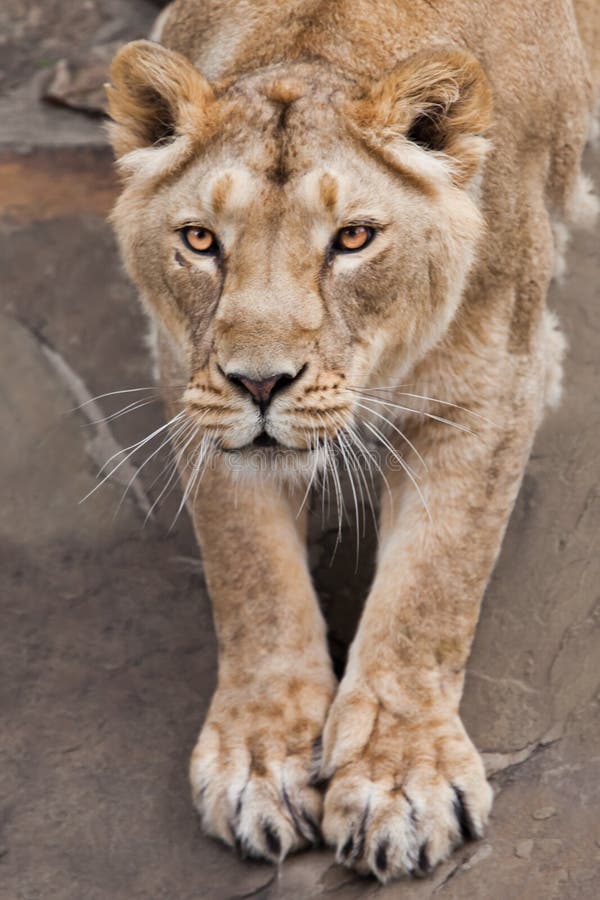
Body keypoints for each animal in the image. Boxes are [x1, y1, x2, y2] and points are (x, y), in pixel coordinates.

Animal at [105, 0, 599, 882]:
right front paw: (260, 760)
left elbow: (432, 588)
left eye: (354, 239)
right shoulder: (191, 383)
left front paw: (399, 780)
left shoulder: (496, 382)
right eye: (199, 241)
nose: (259, 383)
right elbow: (252, 579)